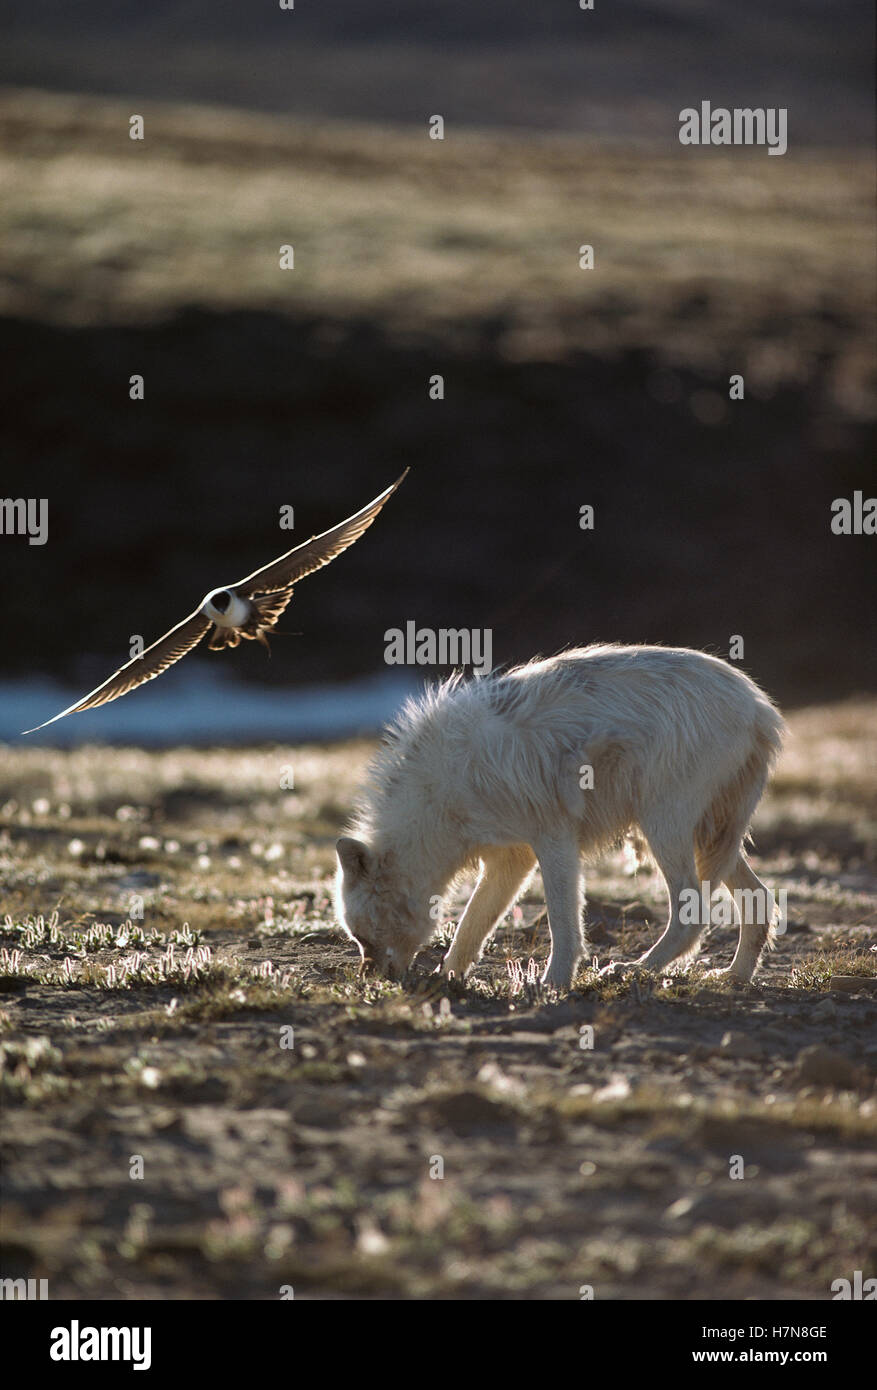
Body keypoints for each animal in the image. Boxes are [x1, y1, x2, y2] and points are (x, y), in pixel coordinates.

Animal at [335, 645, 786, 991]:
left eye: (362, 936)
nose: (371, 981)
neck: (437, 796)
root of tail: (760, 708)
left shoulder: (553, 841)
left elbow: (562, 925)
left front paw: (554, 983)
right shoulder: (510, 861)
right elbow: (470, 927)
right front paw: (449, 978)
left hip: (664, 829)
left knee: (692, 913)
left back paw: (633, 970)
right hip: (709, 839)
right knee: (760, 898)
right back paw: (734, 977)